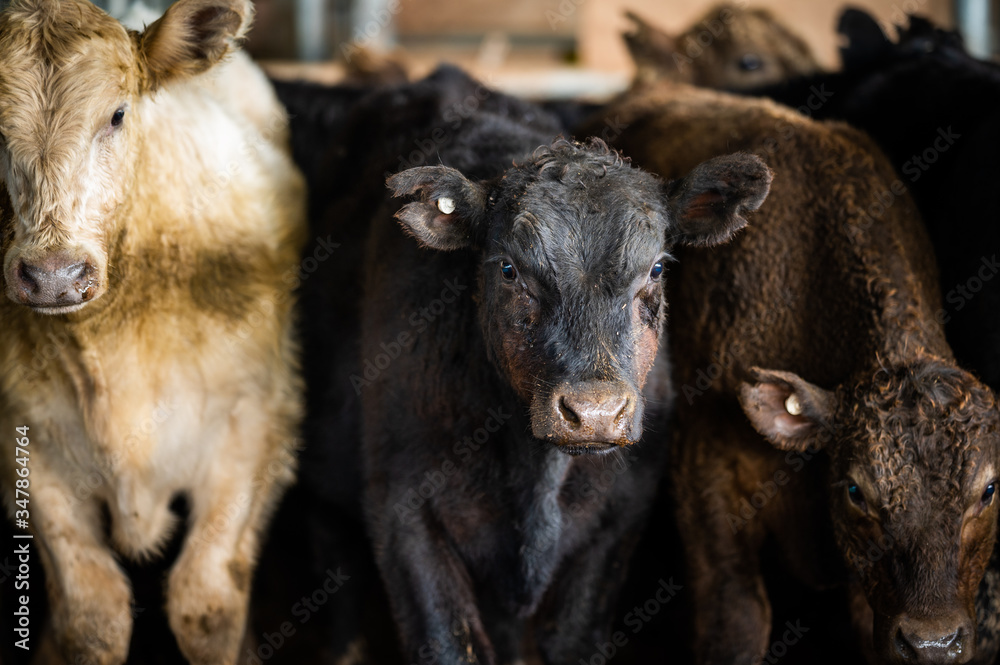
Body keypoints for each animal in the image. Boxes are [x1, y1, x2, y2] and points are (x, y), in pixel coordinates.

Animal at [0, 1, 306, 664]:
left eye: (118, 113)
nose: (53, 275)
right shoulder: (27, 444)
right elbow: (93, 618)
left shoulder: (251, 426)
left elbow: (204, 605)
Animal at [306, 66, 770, 665]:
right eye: (508, 269)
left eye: (657, 269)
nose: (595, 412)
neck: (536, 475)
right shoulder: (402, 513)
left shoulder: (618, 520)